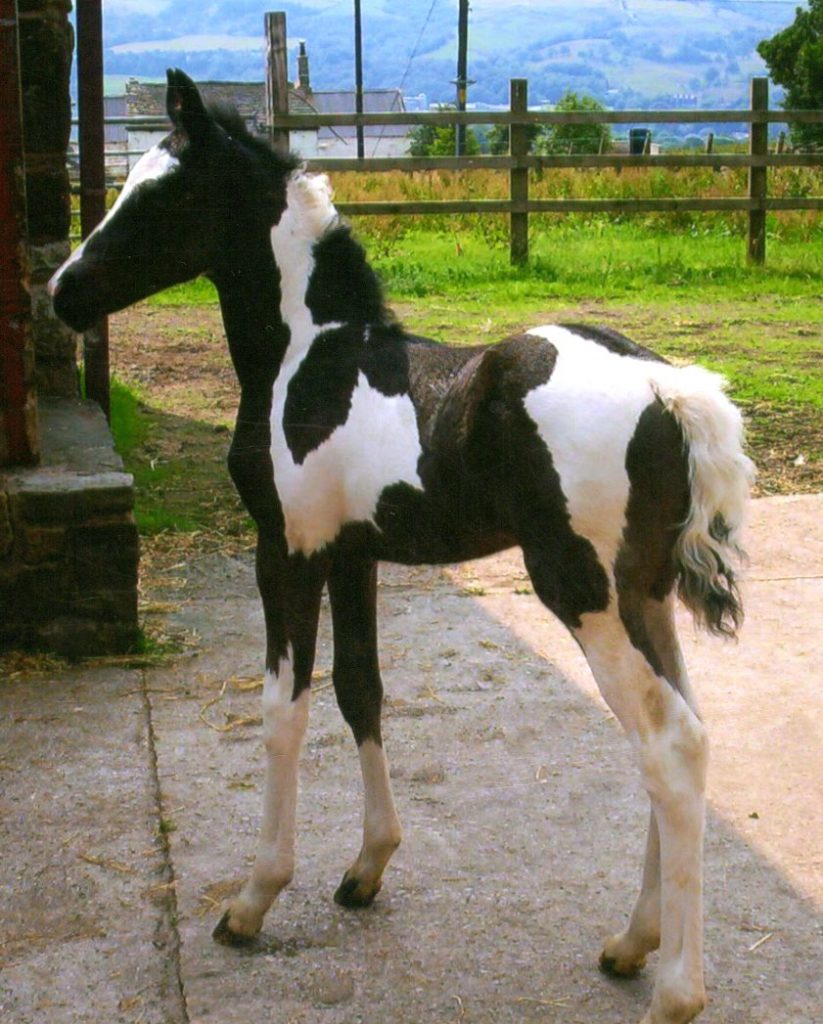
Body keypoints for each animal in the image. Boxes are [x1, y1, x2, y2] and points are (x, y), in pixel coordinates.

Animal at [50, 69, 754, 1024]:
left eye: (161, 194)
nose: (63, 292)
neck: (307, 359)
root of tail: (666, 387)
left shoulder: (288, 551)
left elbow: (284, 709)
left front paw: (253, 899)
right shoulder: (354, 554)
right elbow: (361, 691)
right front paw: (365, 868)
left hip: (582, 592)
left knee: (668, 745)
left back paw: (675, 990)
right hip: (642, 595)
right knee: (686, 734)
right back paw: (629, 942)